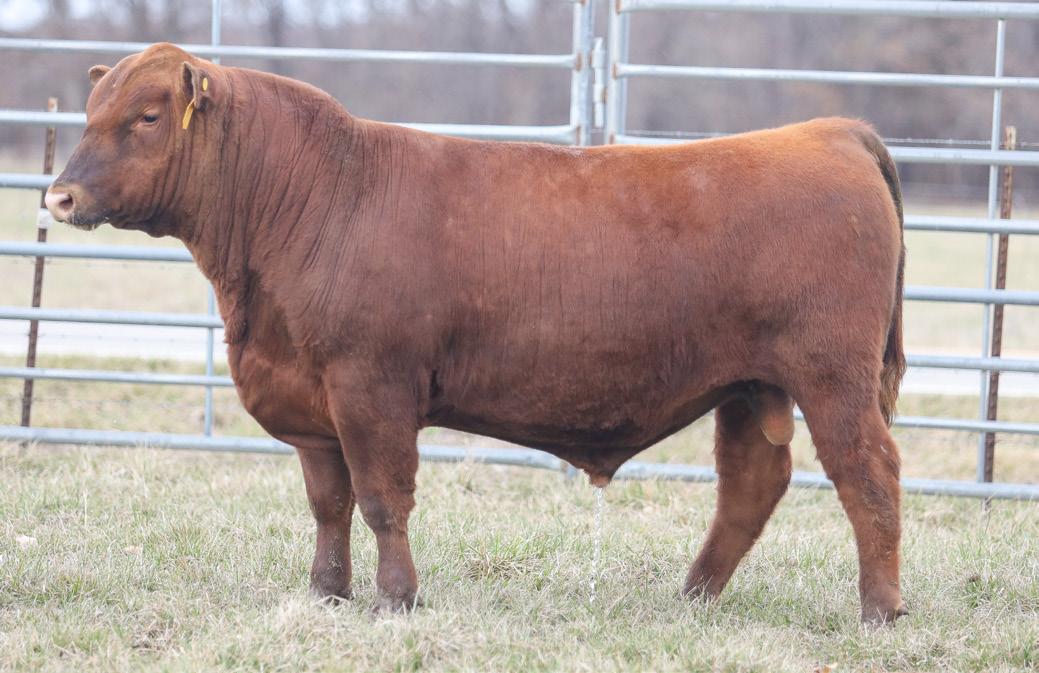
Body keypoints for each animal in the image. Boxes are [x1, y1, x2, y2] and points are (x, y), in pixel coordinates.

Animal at [44, 43, 907, 623]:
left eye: (146, 115)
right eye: (89, 115)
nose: (58, 196)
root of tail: (829, 132)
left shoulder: (371, 385)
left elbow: (381, 497)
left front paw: (396, 599)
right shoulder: (311, 401)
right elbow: (328, 502)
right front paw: (326, 593)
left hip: (832, 375)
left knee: (867, 473)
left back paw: (879, 608)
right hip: (749, 386)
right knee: (750, 484)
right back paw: (692, 596)